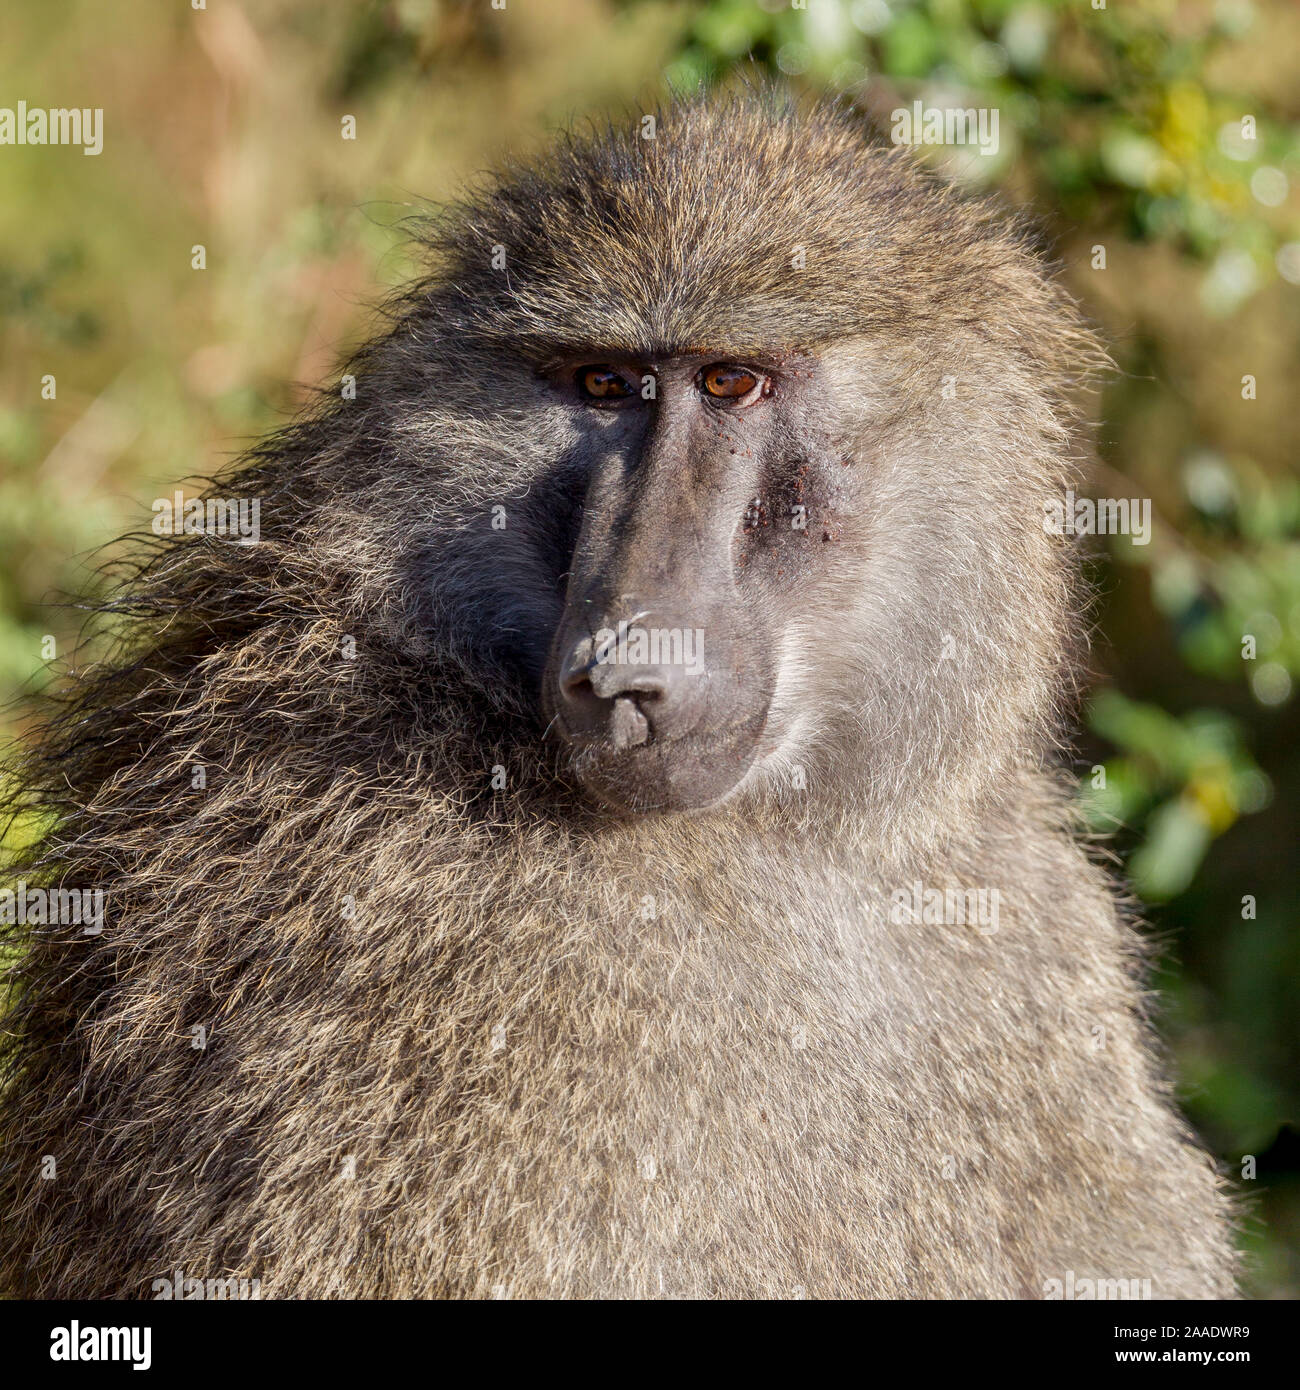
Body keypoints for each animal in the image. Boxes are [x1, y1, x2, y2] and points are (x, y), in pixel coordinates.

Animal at [0, 90, 1237, 1299]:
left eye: (731, 381)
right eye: (603, 385)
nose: (625, 668)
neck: (777, 832)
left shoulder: (1028, 919)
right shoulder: (358, 907)